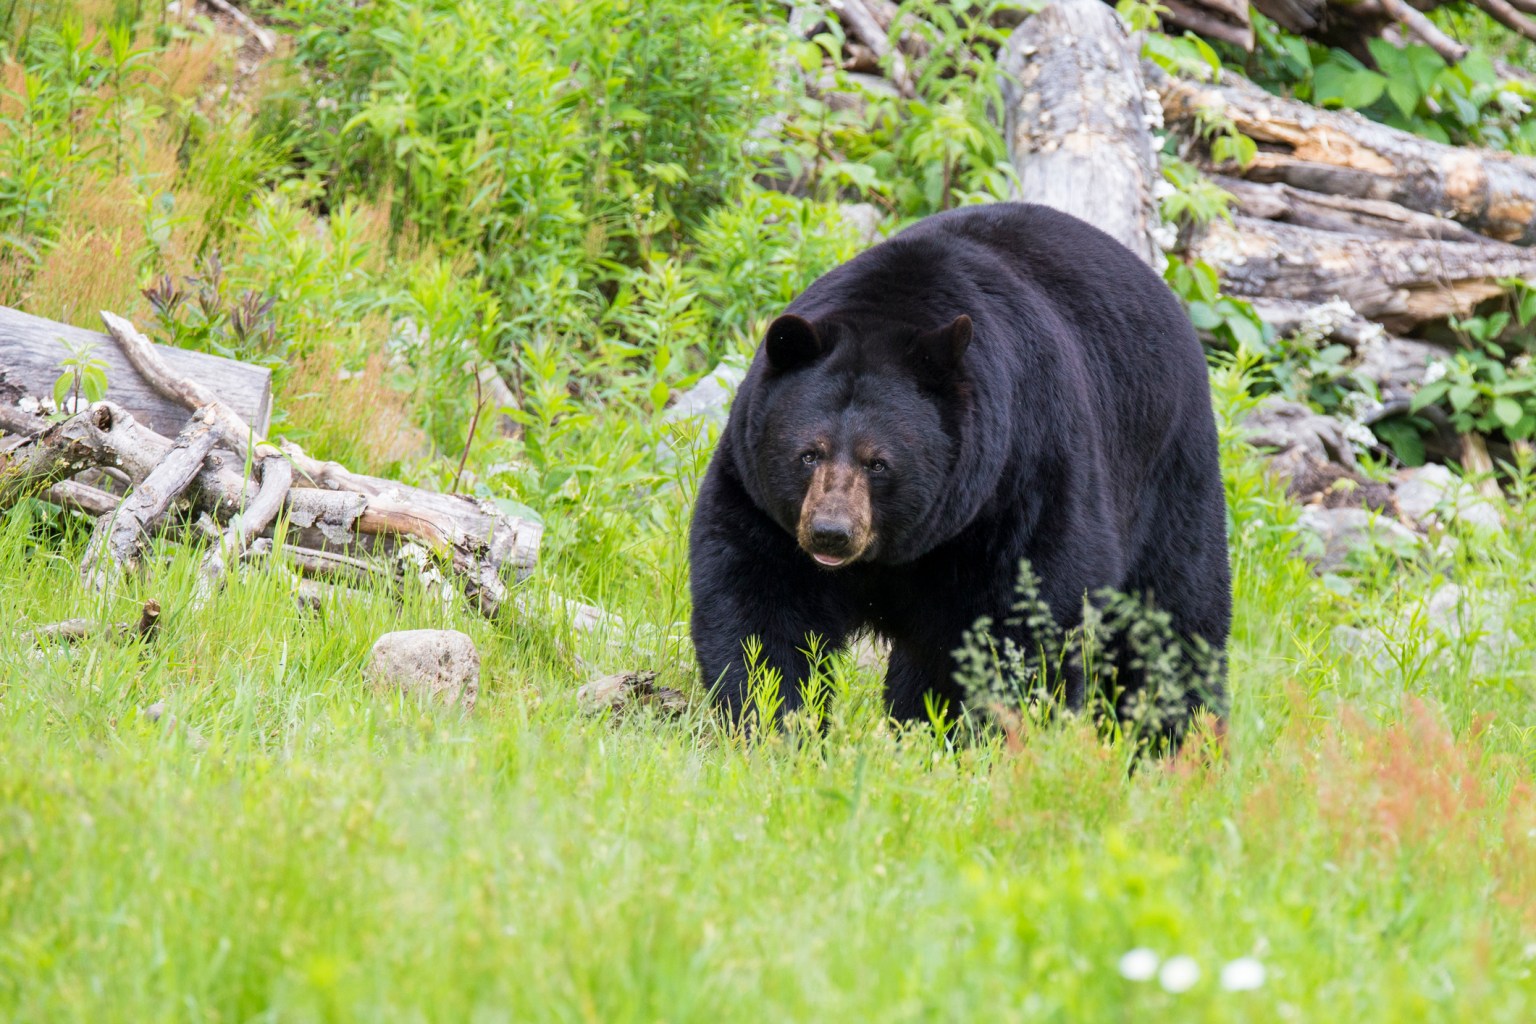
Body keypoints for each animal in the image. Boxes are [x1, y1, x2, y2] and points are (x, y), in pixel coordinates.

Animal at [688, 202, 1231, 745]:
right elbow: (760, 604)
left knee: (1174, 616)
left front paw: (987, 733)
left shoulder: (1022, 479)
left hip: (1168, 469)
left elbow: (1026, 616)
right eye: (808, 454)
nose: (831, 533)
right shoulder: (760, 496)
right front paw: (773, 722)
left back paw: (1177, 737)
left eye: (878, 462)